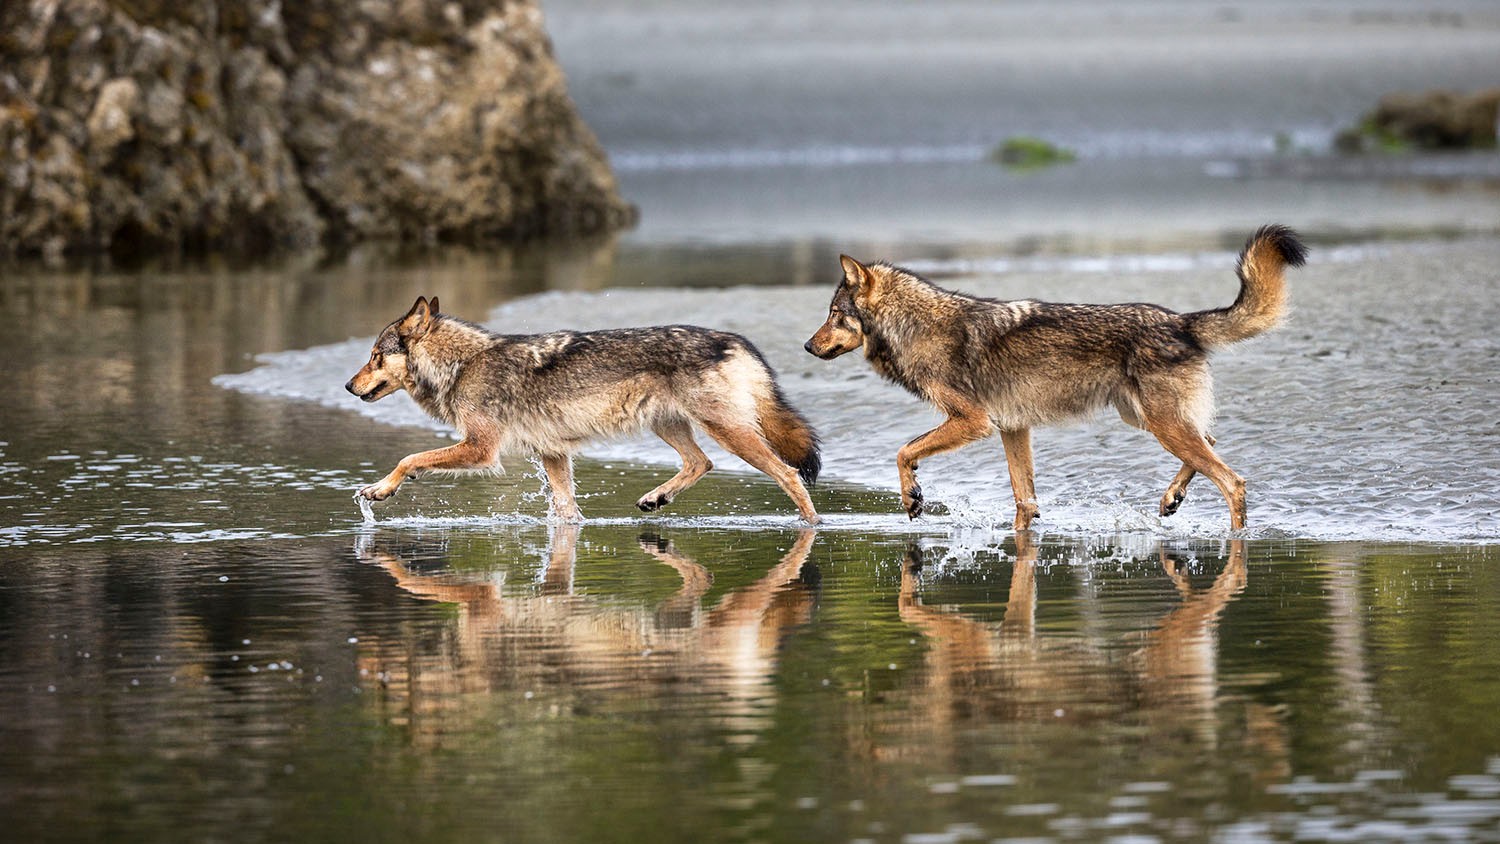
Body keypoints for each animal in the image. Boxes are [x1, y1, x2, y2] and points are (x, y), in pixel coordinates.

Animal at [345, 297, 822, 523]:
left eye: (374, 356)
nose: (348, 386)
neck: (462, 365)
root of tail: (737, 340)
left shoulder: (481, 449)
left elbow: (410, 459)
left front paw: (379, 490)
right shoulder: (553, 454)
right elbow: (567, 511)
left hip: (727, 432)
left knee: (788, 475)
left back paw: (813, 525)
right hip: (669, 426)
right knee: (700, 463)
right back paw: (656, 497)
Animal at [804, 225, 1306, 531]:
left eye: (833, 315)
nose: (807, 346)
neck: (915, 326)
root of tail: (1180, 321)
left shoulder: (973, 421)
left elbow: (903, 451)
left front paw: (912, 498)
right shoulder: (1012, 428)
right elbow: (1024, 500)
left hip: (1162, 426)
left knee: (1233, 481)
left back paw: (1236, 541)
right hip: (1149, 421)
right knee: (1213, 446)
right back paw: (1171, 499)